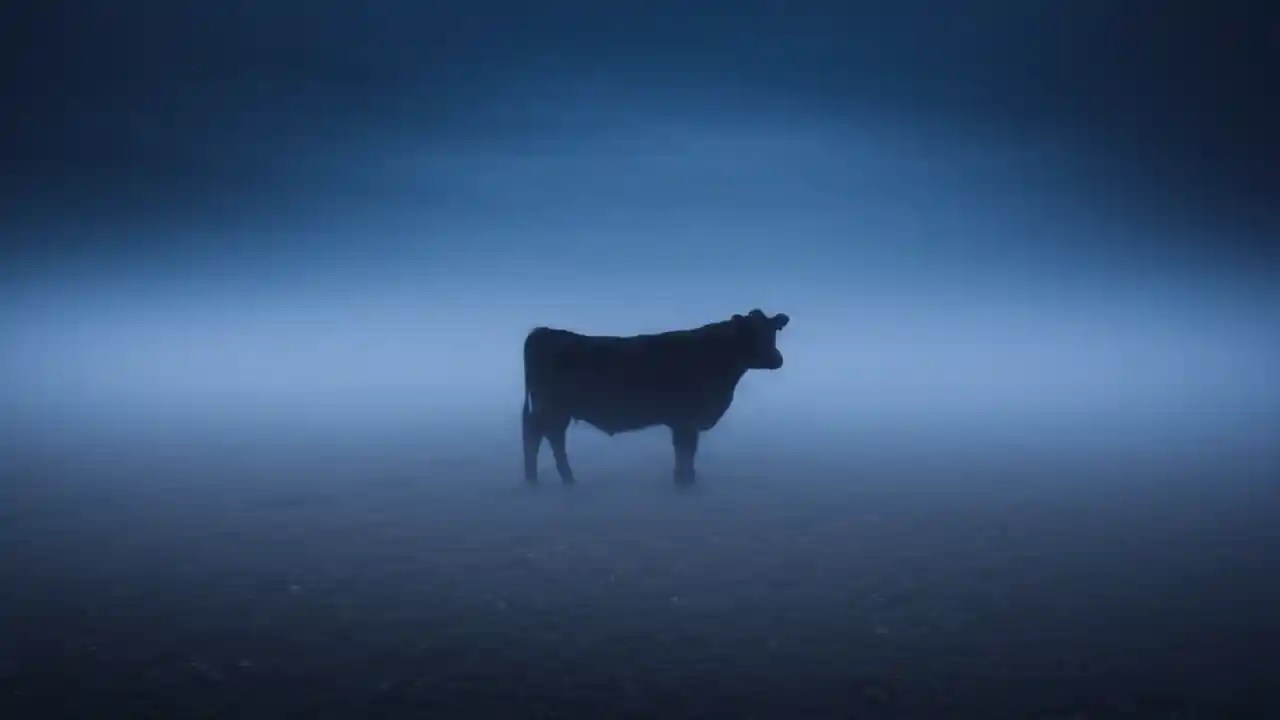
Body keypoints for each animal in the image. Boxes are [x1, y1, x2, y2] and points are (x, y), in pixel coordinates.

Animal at [521, 308, 790, 485]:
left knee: (551, 437)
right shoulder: (686, 418)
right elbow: (687, 450)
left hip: (558, 410)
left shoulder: (683, 421)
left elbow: (683, 450)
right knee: (537, 436)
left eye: (772, 331)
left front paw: (683, 479)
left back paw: (562, 479)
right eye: (752, 332)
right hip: (551, 407)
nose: (777, 359)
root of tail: (543, 331)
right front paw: (686, 483)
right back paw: (538, 481)